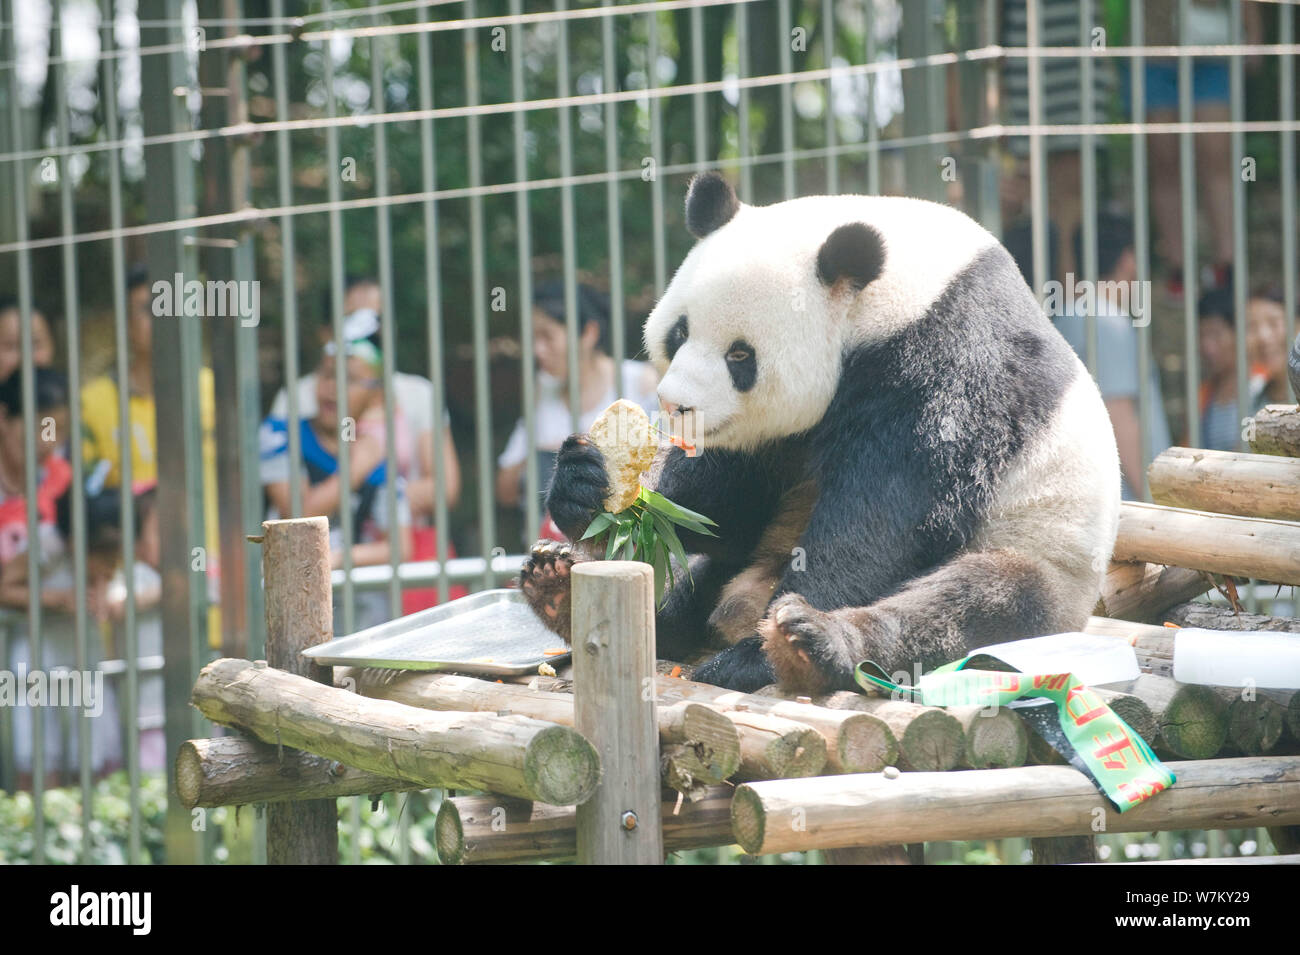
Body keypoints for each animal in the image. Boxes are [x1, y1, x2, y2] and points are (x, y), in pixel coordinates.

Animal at [520, 171, 1121, 695]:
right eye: (680, 331)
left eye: (741, 355)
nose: (676, 405)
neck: (887, 294)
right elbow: (724, 504)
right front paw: (589, 485)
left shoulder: (945, 358)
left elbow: (887, 517)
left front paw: (770, 648)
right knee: (693, 580)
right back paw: (562, 589)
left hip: (1047, 555)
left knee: (975, 603)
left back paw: (802, 645)